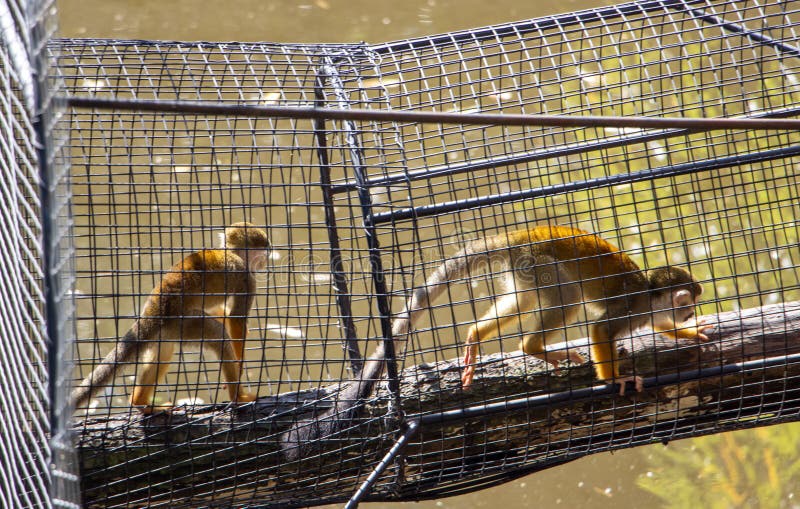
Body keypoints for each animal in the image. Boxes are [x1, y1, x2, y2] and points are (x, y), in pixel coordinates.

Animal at [71, 222, 271, 414]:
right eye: (263, 253)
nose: (265, 261)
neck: (231, 253)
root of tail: (154, 310)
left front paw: (221, 315)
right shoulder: (246, 277)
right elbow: (236, 318)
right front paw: (240, 365)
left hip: (169, 328)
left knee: (164, 350)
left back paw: (141, 403)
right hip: (184, 323)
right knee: (217, 334)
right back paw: (238, 396)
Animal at [282, 225, 709, 459]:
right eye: (686, 302)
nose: (689, 314)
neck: (649, 297)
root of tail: (520, 235)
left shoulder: (651, 315)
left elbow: (661, 327)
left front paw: (692, 333)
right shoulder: (629, 309)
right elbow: (601, 330)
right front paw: (615, 380)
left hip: (525, 271)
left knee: (526, 299)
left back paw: (477, 336)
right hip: (542, 265)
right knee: (567, 297)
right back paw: (532, 348)